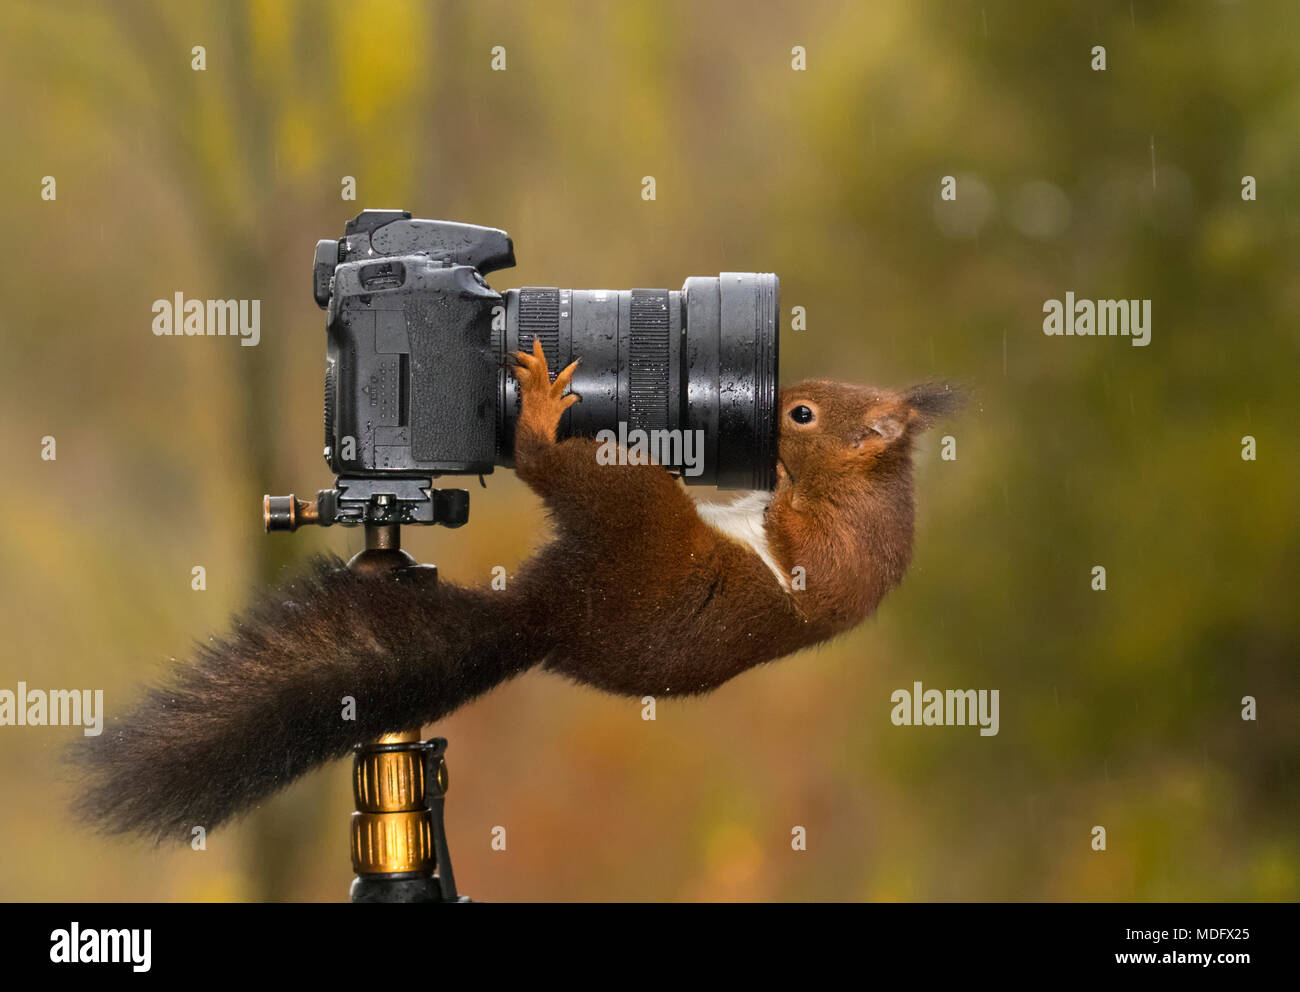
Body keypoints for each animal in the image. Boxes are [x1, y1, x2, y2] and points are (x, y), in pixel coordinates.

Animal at [78, 339, 960, 841]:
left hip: (637, 519)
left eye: (803, 414)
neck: (870, 487)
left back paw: (536, 412)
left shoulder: (845, 550)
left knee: (560, 465)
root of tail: (549, 615)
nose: (769, 413)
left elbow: (802, 548)